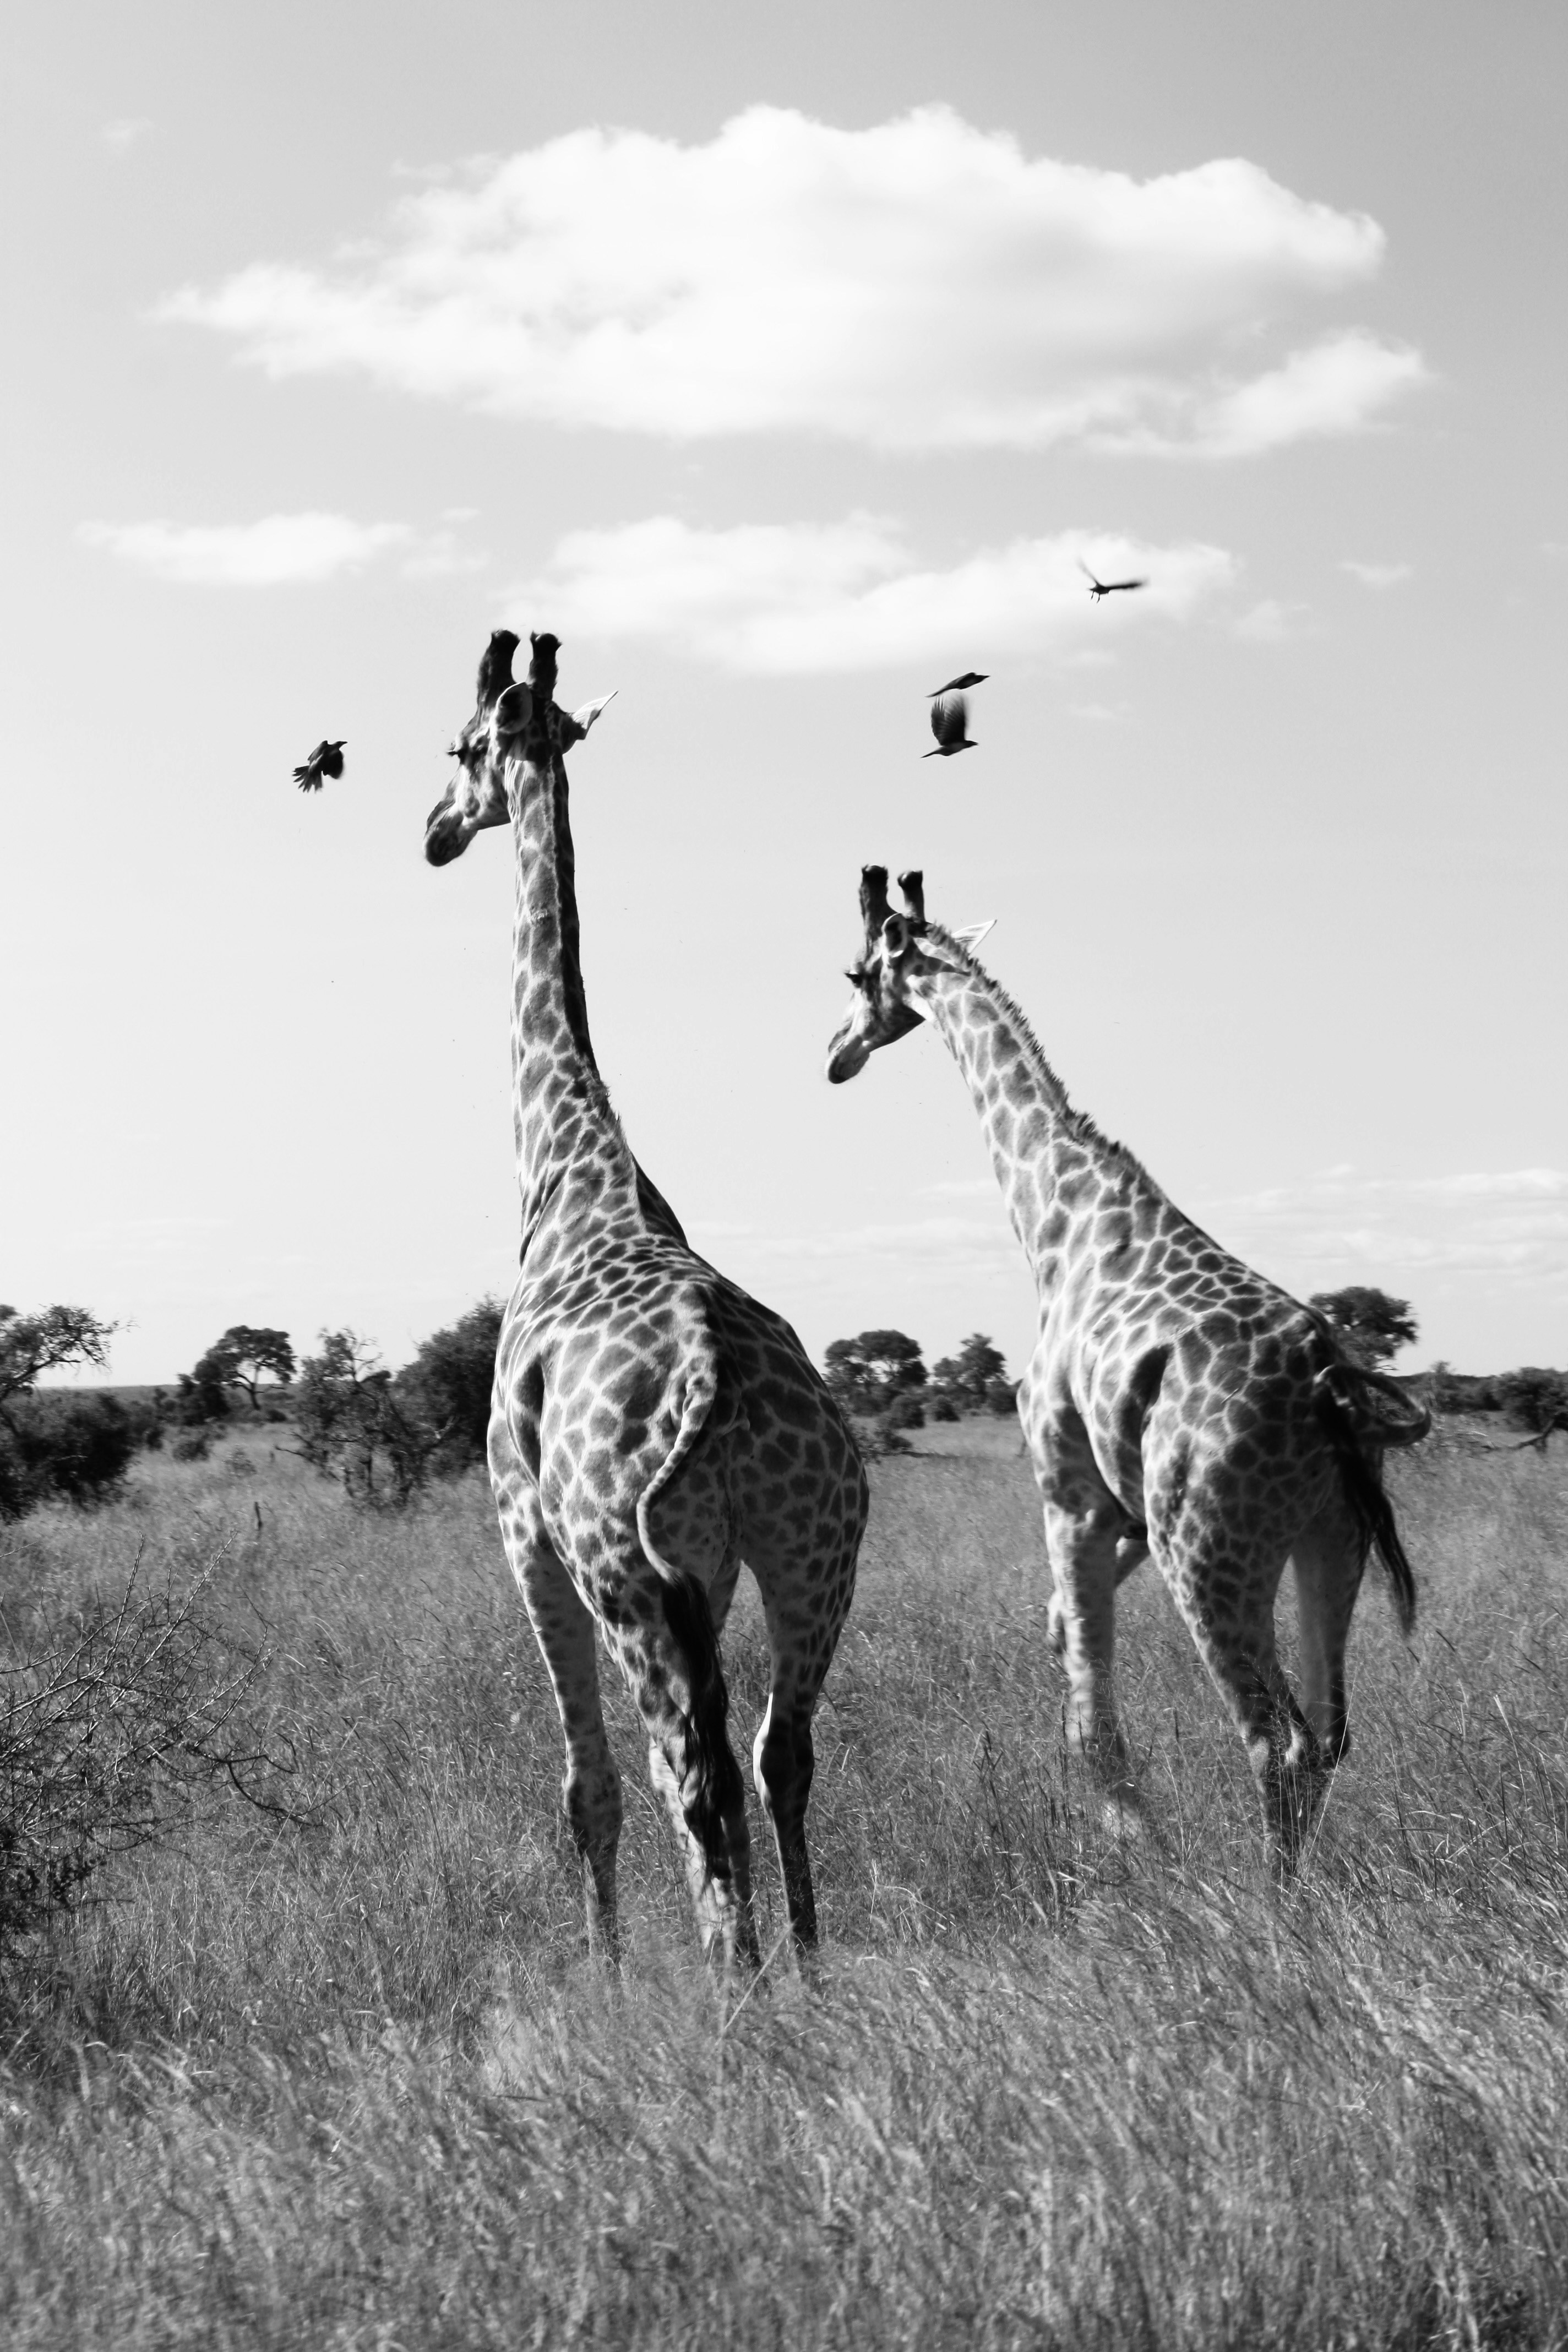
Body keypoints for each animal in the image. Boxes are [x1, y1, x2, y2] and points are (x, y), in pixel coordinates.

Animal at [423, 630, 866, 1970]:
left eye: (462, 747)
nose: (433, 831)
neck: (570, 1166)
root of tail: (716, 1390)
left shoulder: (521, 1533)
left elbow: (585, 1790)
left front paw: (606, 1978)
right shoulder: (713, 1577)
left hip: (626, 1576)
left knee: (691, 1782)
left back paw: (734, 1991)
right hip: (813, 1552)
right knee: (779, 1755)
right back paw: (805, 1976)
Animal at [825, 866, 1429, 1867]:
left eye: (854, 973)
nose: (834, 1054)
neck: (1055, 1215)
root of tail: (1327, 1390)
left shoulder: (1066, 1488)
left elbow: (1086, 1697)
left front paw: (1127, 1829)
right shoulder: (1128, 1506)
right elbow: (1061, 1630)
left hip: (1212, 1549)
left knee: (1276, 1739)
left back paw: (1264, 1898)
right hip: (1326, 1540)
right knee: (1331, 1733)